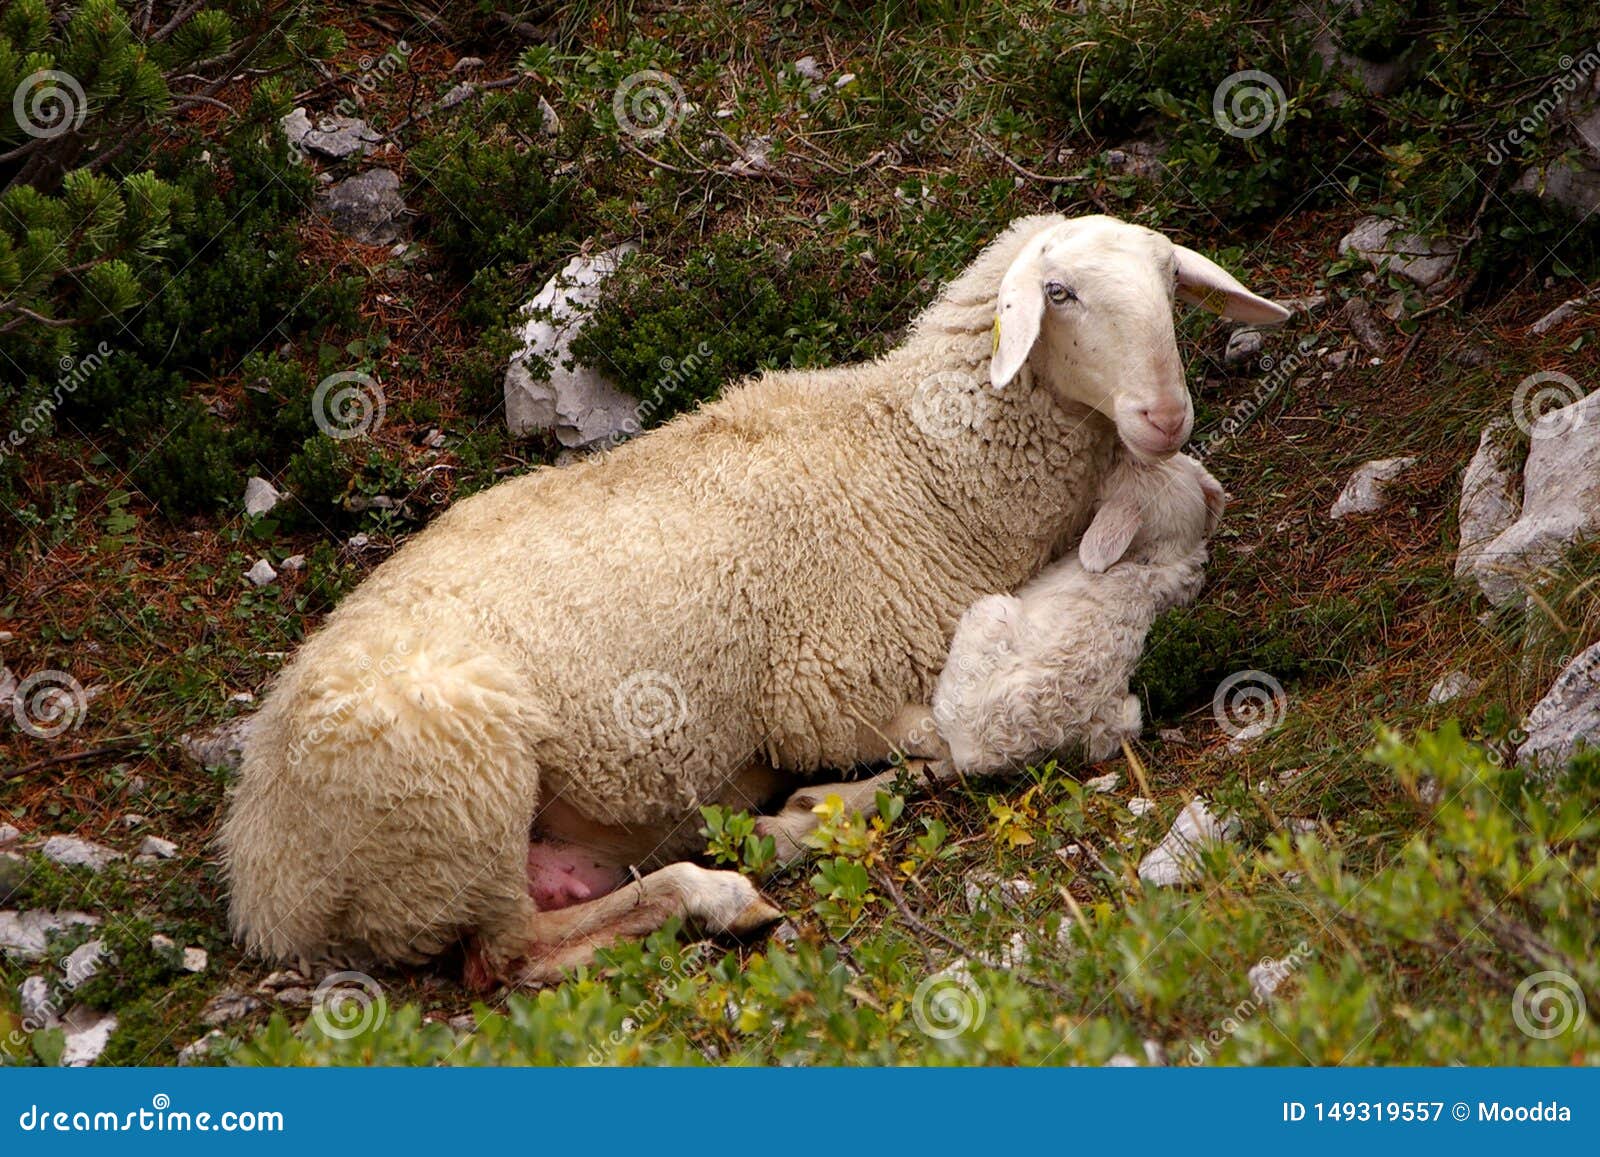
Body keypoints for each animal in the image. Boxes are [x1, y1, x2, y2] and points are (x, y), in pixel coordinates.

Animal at [218, 213, 1287, 984]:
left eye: (1170, 285)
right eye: (1059, 293)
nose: (1165, 416)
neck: (919, 464)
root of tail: (261, 880)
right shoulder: (832, 689)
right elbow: (952, 745)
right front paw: (822, 802)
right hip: (453, 797)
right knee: (506, 956)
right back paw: (723, 888)